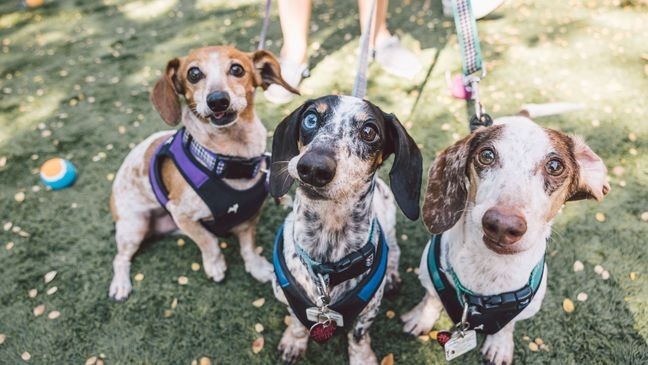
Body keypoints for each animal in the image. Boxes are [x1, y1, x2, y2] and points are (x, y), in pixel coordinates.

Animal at [108, 45, 296, 300]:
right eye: (193, 74)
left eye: (237, 69)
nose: (218, 100)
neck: (228, 160)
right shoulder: (181, 213)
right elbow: (208, 242)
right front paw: (215, 266)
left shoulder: (249, 217)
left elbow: (248, 246)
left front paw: (256, 267)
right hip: (134, 227)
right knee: (120, 258)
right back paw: (120, 284)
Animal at [270, 95, 426, 362]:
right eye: (310, 118)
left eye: (369, 131)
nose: (313, 167)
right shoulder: (285, 297)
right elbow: (296, 321)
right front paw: (294, 341)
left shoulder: (369, 310)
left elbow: (358, 335)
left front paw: (362, 358)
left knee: (395, 250)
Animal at [402, 112, 612, 362]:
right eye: (486, 155)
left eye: (554, 166)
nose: (502, 224)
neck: (488, 268)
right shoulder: (428, 276)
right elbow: (431, 298)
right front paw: (421, 317)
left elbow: (507, 326)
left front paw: (499, 345)